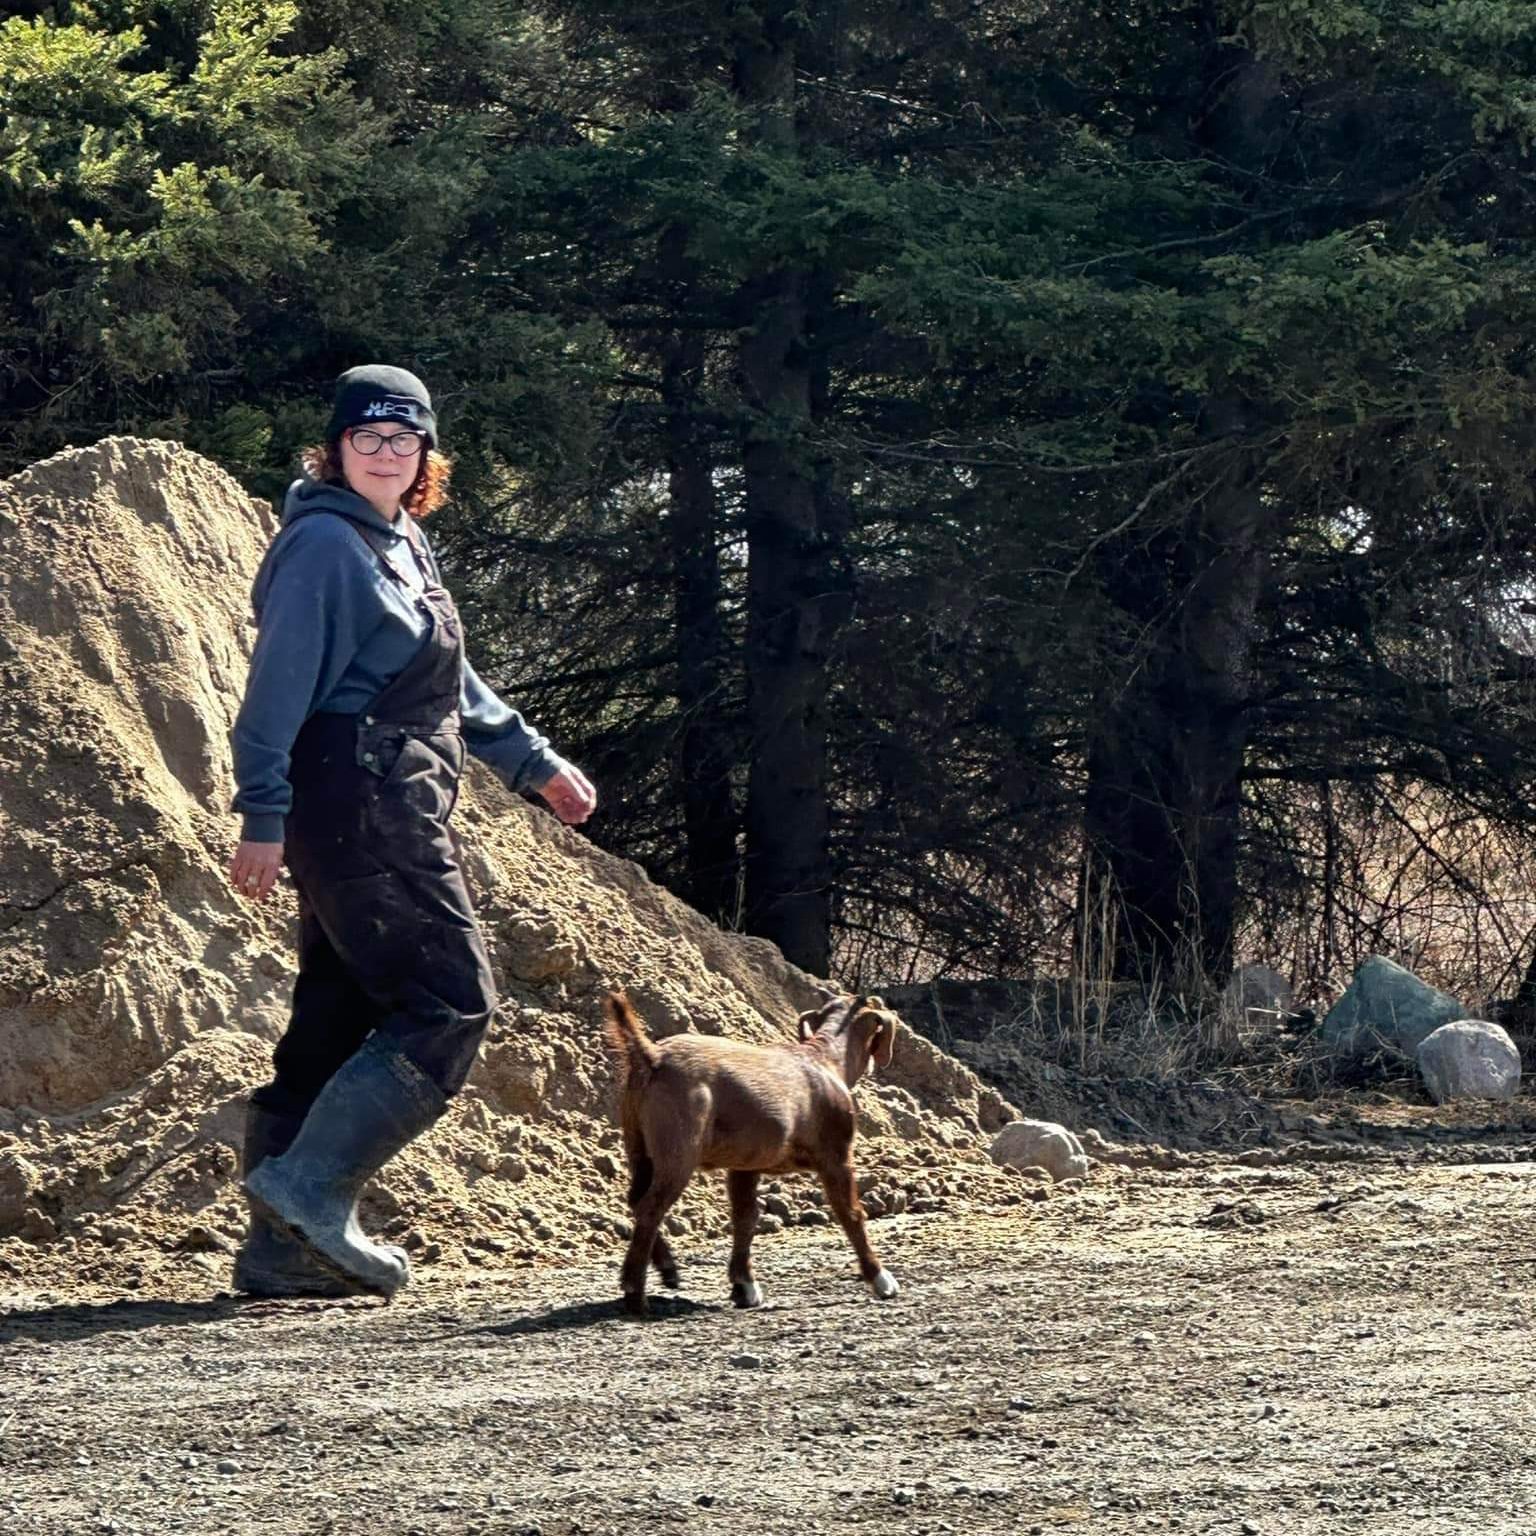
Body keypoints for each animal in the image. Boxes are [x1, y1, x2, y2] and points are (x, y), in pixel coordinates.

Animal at [601, 988, 901, 1315]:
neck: (825, 1060)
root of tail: (653, 1057)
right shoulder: (836, 1157)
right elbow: (851, 1213)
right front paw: (881, 1279)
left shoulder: (744, 1166)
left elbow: (745, 1218)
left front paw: (744, 1285)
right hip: (678, 1152)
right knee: (650, 1207)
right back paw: (636, 1293)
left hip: (638, 1145)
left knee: (636, 1198)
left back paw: (668, 1269)